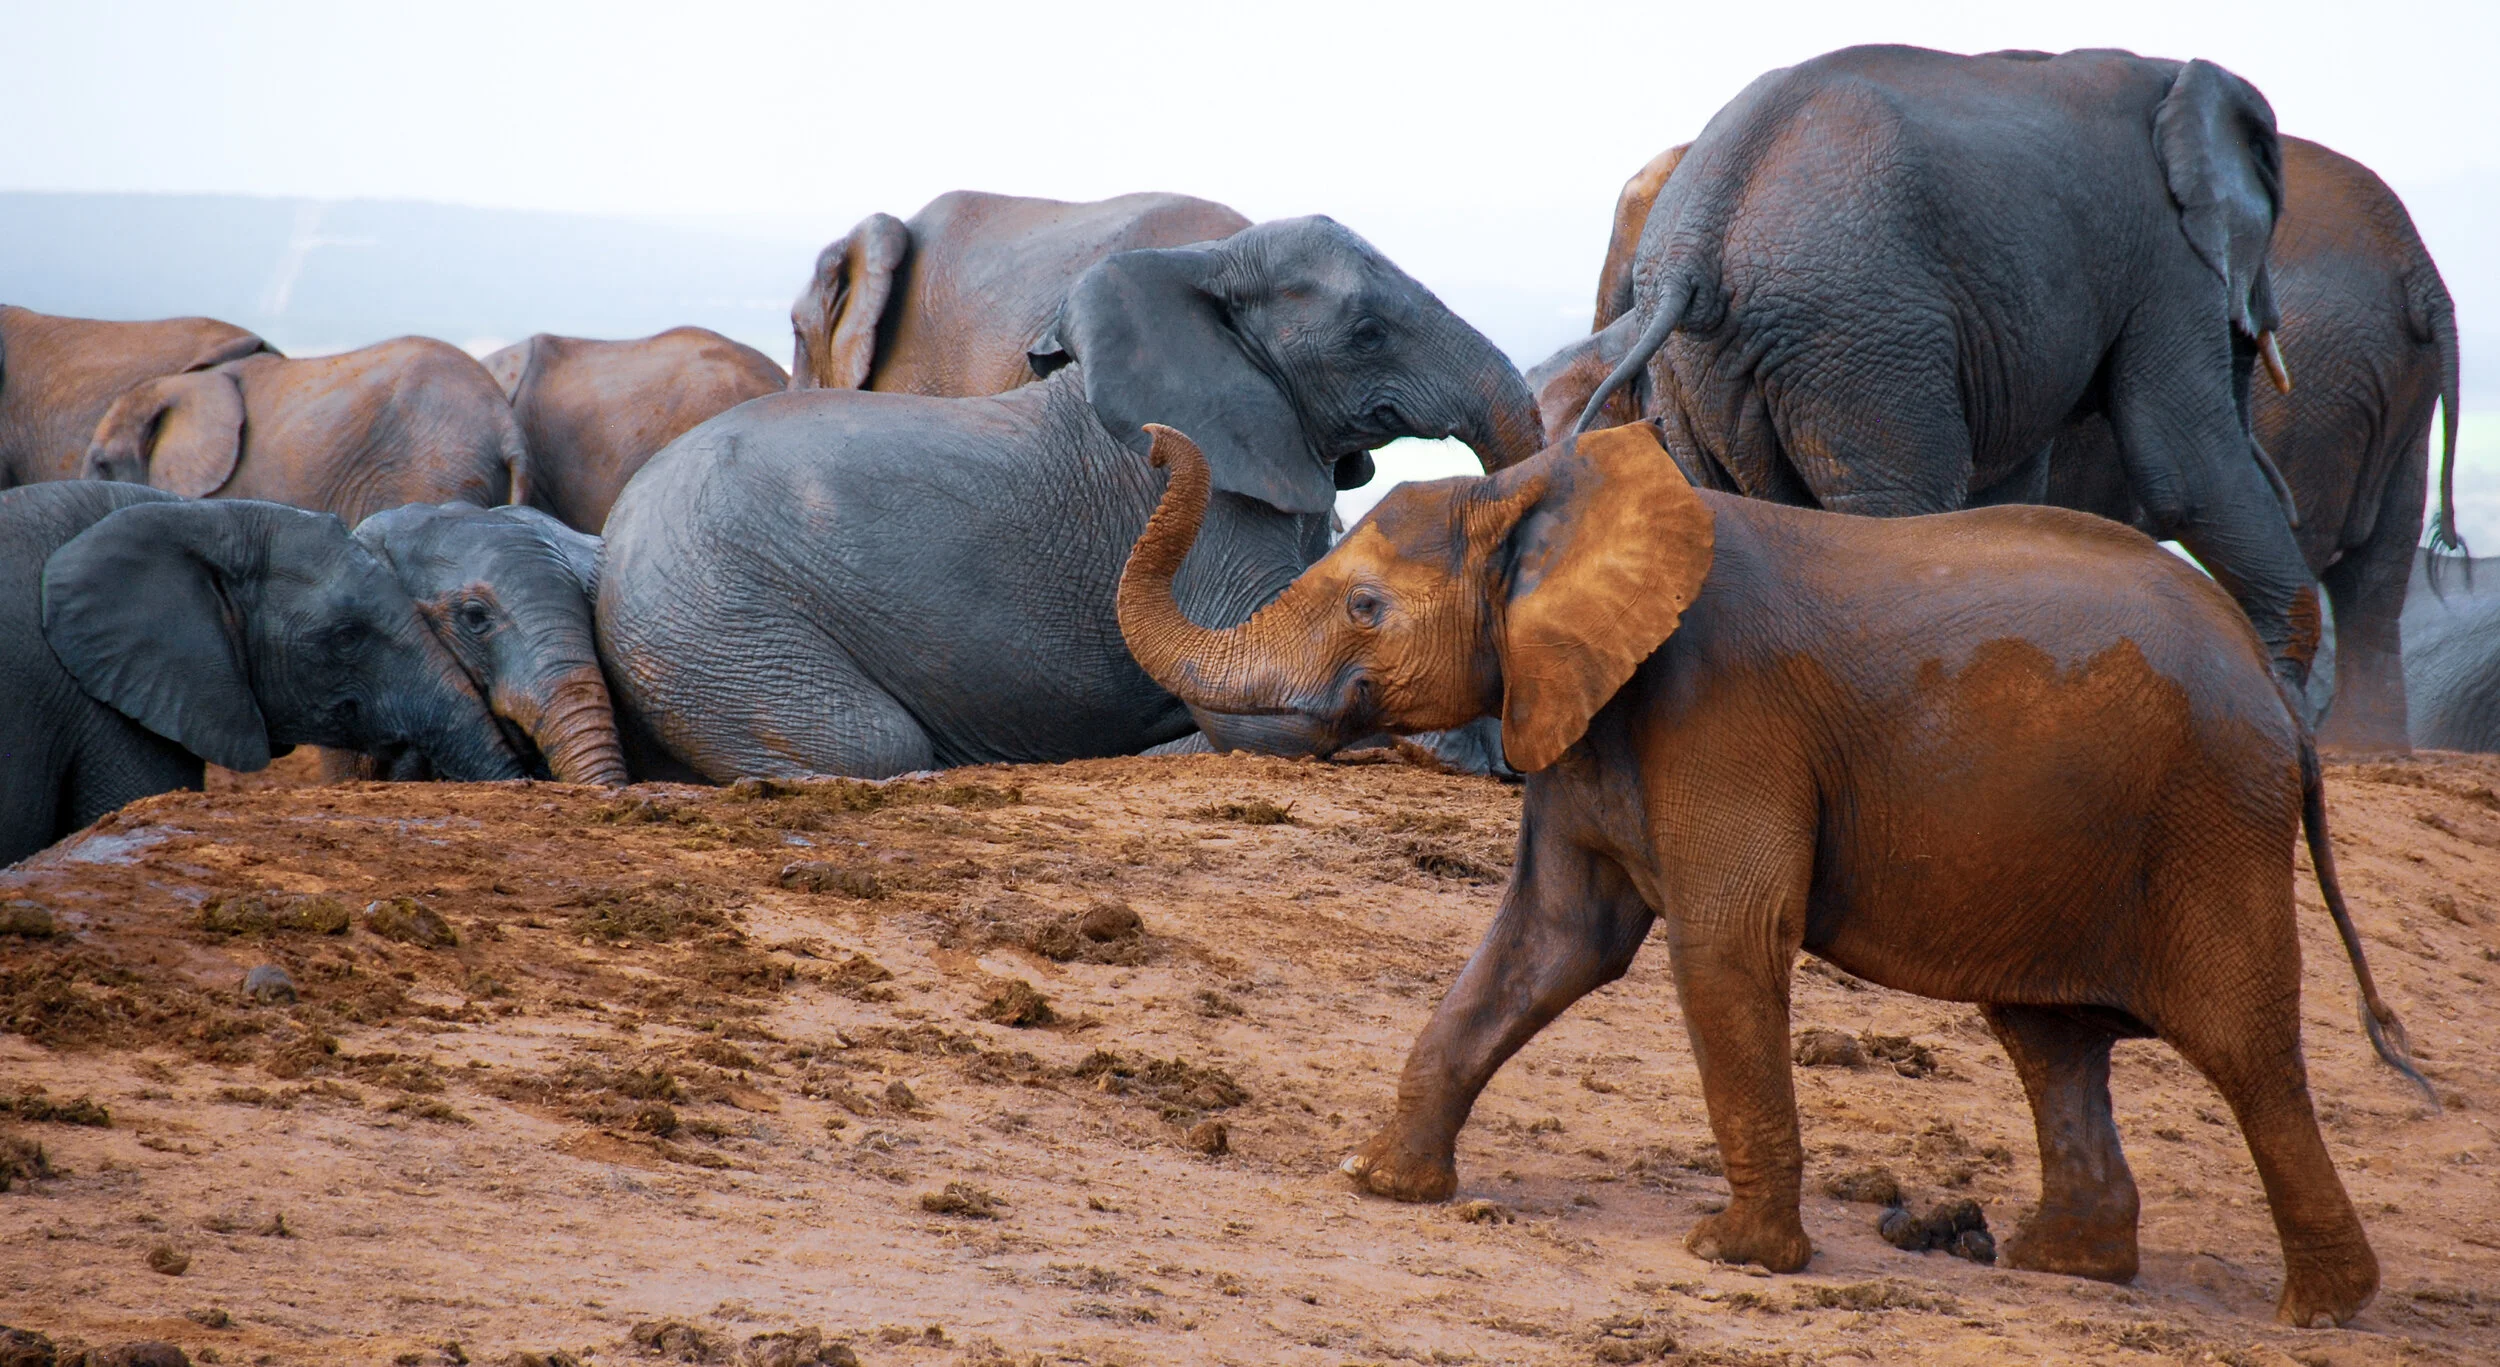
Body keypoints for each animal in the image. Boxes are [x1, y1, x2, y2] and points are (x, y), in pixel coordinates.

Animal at [600, 215, 1545, 781]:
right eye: (1367, 334)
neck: (1202, 265)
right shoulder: (1214, 506)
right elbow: (1258, 692)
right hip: (713, 621)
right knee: (866, 742)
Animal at [1115, 420, 2426, 1327]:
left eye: (1366, 604)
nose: (1151, 436)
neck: (1544, 491)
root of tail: (2279, 701)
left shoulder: (1723, 713)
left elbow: (1723, 939)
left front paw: (1732, 1255)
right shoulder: (1583, 712)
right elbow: (1548, 943)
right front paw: (1380, 1182)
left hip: (2210, 815)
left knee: (2243, 1045)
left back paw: (2320, 1308)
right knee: (2048, 1038)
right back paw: (2064, 1265)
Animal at [1567, 46, 2317, 688]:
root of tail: (1696, 243)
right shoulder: (2166, 255)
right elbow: (2185, 465)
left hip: (1710, 365)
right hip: (1862, 335)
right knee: (1902, 501)